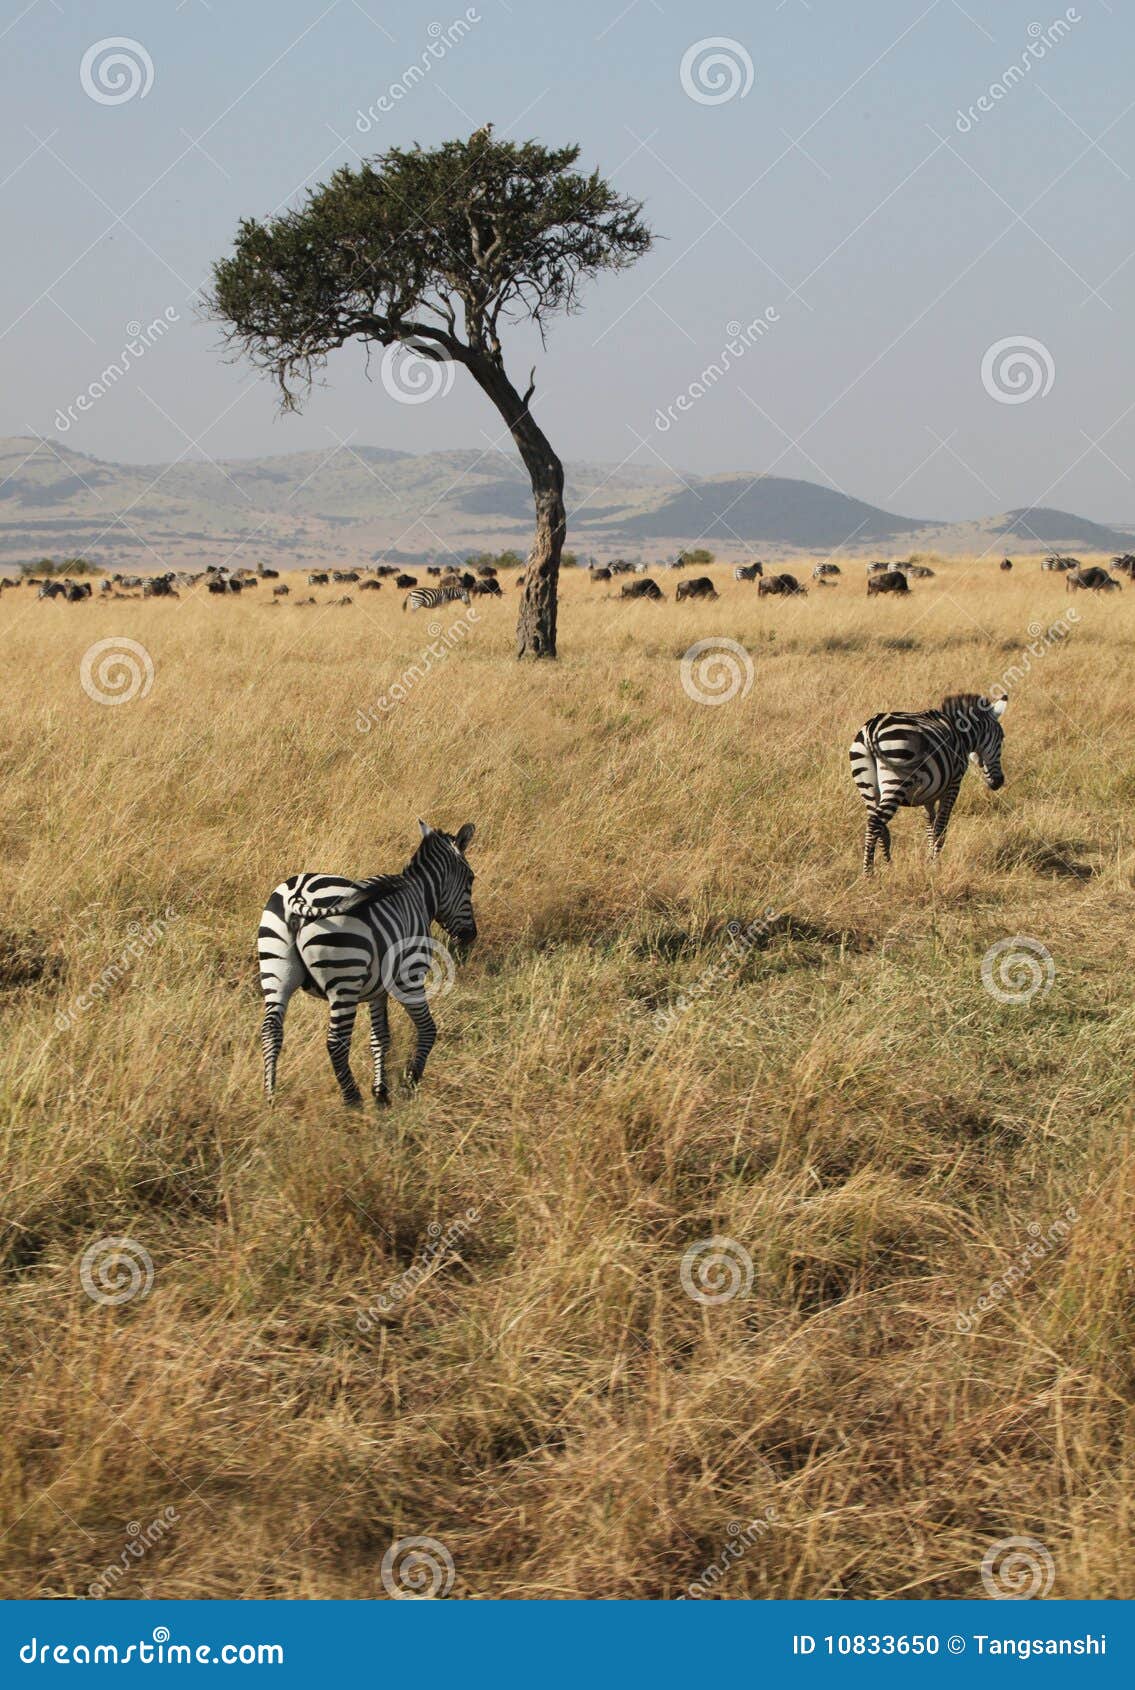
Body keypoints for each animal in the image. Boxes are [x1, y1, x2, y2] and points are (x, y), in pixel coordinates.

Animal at [257, 821, 476, 1106]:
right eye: (471, 879)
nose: (471, 936)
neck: (420, 894)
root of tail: (299, 892)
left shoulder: (377, 989)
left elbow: (380, 1037)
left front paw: (381, 1093)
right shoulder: (408, 978)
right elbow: (428, 1028)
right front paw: (410, 1081)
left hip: (275, 971)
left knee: (271, 1030)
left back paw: (271, 1097)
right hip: (344, 980)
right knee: (336, 1042)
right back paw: (353, 1101)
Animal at [849, 694, 1007, 873]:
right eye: (1002, 738)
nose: (999, 782)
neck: (962, 735)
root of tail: (871, 729)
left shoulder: (927, 794)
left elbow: (930, 827)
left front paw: (930, 860)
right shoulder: (953, 784)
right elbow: (941, 826)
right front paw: (935, 864)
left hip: (866, 786)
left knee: (877, 824)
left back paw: (888, 864)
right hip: (895, 780)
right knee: (875, 823)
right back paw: (868, 873)